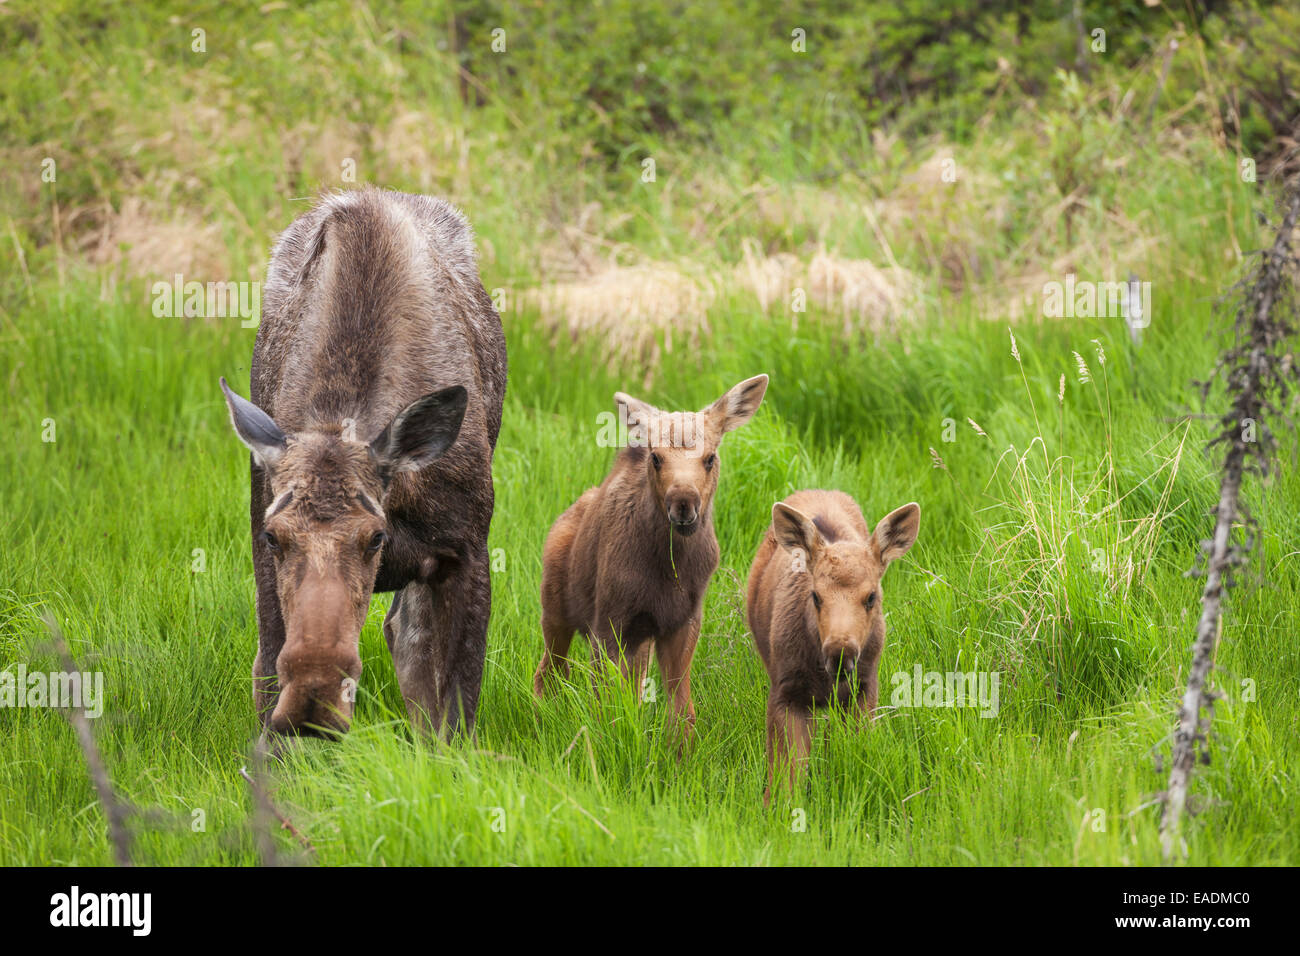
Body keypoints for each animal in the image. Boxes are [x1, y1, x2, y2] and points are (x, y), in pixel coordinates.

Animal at [533, 375, 769, 733]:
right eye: (655, 457)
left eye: (710, 457)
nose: (683, 502)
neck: (669, 567)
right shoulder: (609, 623)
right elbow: (606, 707)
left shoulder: (680, 622)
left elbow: (681, 709)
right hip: (555, 611)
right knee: (549, 671)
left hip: (638, 637)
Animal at [746, 490, 919, 802]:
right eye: (816, 595)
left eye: (872, 596)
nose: (840, 654)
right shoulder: (785, 690)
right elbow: (787, 775)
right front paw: (774, 806)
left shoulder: (863, 690)